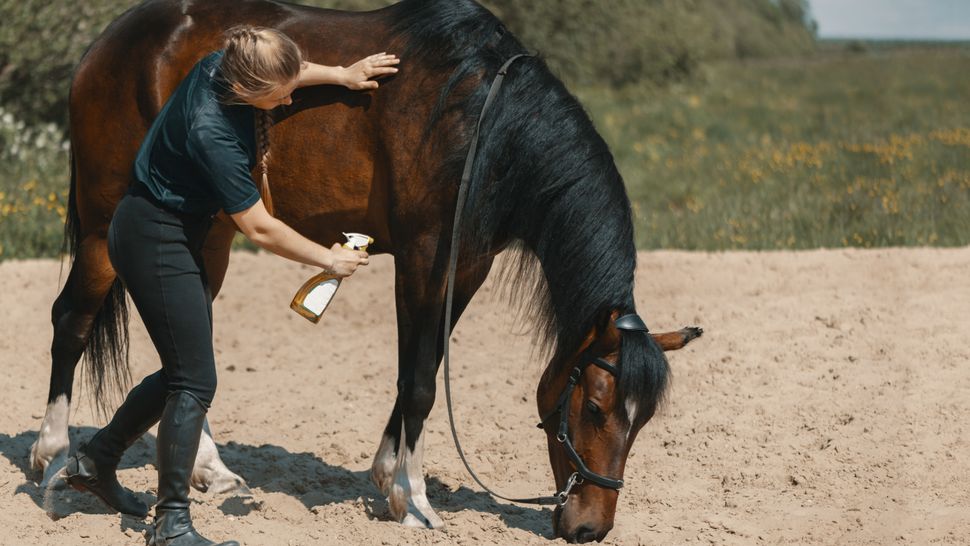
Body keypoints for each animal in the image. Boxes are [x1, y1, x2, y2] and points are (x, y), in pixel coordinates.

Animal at [29, 0, 702, 542]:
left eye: (642, 420)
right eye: (595, 408)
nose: (590, 527)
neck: (482, 121)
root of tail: (108, 40)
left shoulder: (468, 264)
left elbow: (420, 367)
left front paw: (387, 479)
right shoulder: (424, 255)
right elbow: (420, 382)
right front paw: (414, 501)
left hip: (210, 233)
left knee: (181, 348)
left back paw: (209, 470)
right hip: (103, 227)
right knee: (72, 320)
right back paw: (53, 456)